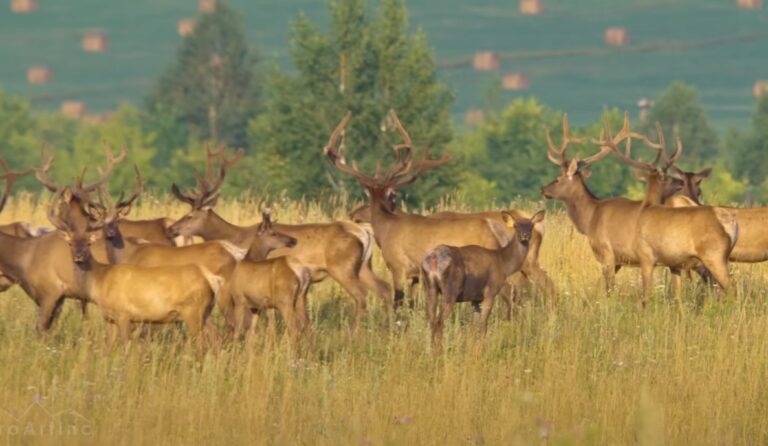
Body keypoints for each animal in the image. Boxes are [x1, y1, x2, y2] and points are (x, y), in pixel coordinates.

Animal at [47, 188, 223, 349]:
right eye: (70, 243)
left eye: (89, 243)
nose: (79, 256)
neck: (100, 277)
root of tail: (211, 280)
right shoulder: (109, 318)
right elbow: (108, 347)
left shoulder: (124, 314)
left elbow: (126, 347)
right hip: (204, 313)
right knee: (214, 336)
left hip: (193, 312)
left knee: (202, 344)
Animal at [168, 145, 390, 330]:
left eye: (190, 215)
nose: (171, 229)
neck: (235, 236)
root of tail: (363, 233)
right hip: (363, 266)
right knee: (384, 288)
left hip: (342, 267)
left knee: (362, 296)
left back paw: (355, 334)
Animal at [324, 110, 529, 312]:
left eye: (367, 200)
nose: (353, 215)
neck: (386, 228)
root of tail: (495, 229)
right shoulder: (416, 274)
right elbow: (413, 303)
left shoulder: (398, 266)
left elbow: (398, 301)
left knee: (509, 291)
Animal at [422, 210, 545, 344]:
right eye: (516, 226)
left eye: (531, 225)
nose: (524, 235)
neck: (504, 263)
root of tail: (433, 259)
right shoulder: (490, 292)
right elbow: (483, 325)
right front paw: (482, 346)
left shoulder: (475, 298)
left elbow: (474, 326)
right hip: (451, 289)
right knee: (439, 322)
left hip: (429, 288)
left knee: (431, 320)